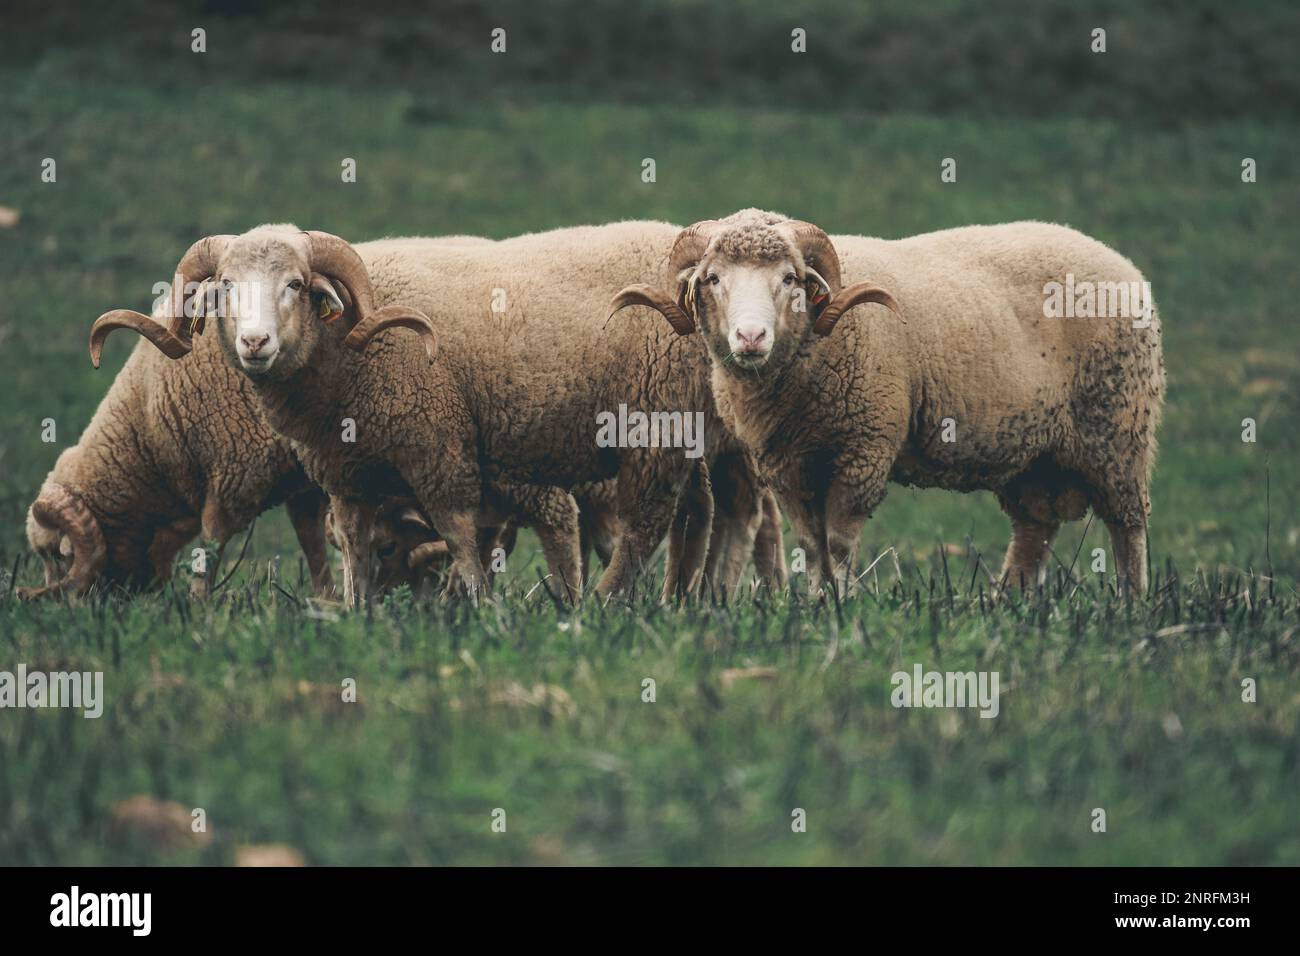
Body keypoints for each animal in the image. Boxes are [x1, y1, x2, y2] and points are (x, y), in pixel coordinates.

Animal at [19, 295, 335, 600]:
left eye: (58, 558)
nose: (52, 606)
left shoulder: (235, 468)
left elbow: (209, 547)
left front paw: (199, 607)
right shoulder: (300, 482)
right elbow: (313, 545)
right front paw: (326, 602)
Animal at [87, 223, 778, 605]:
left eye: (296, 286)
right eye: (226, 288)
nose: (255, 343)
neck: (345, 344)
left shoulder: (438, 446)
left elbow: (459, 533)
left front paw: (475, 607)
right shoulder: (346, 473)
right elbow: (355, 546)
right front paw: (358, 612)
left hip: (655, 417)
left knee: (647, 524)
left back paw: (607, 606)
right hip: (699, 428)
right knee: (712, 511)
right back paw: (692, 600)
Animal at [609, 210, 1164, 595]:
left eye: (789, 278)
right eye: (713, 278)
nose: (750, 337)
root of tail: (1122, 265)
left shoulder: (865, 448)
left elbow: (838, 541)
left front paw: (842, 602)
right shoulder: (786, 464)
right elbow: (811, 544)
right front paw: (817, 604)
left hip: (1118, 429)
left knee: (1129, 525)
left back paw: (1132, 604)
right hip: (1035, 454)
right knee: (1034, 530)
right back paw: (1009, 603)